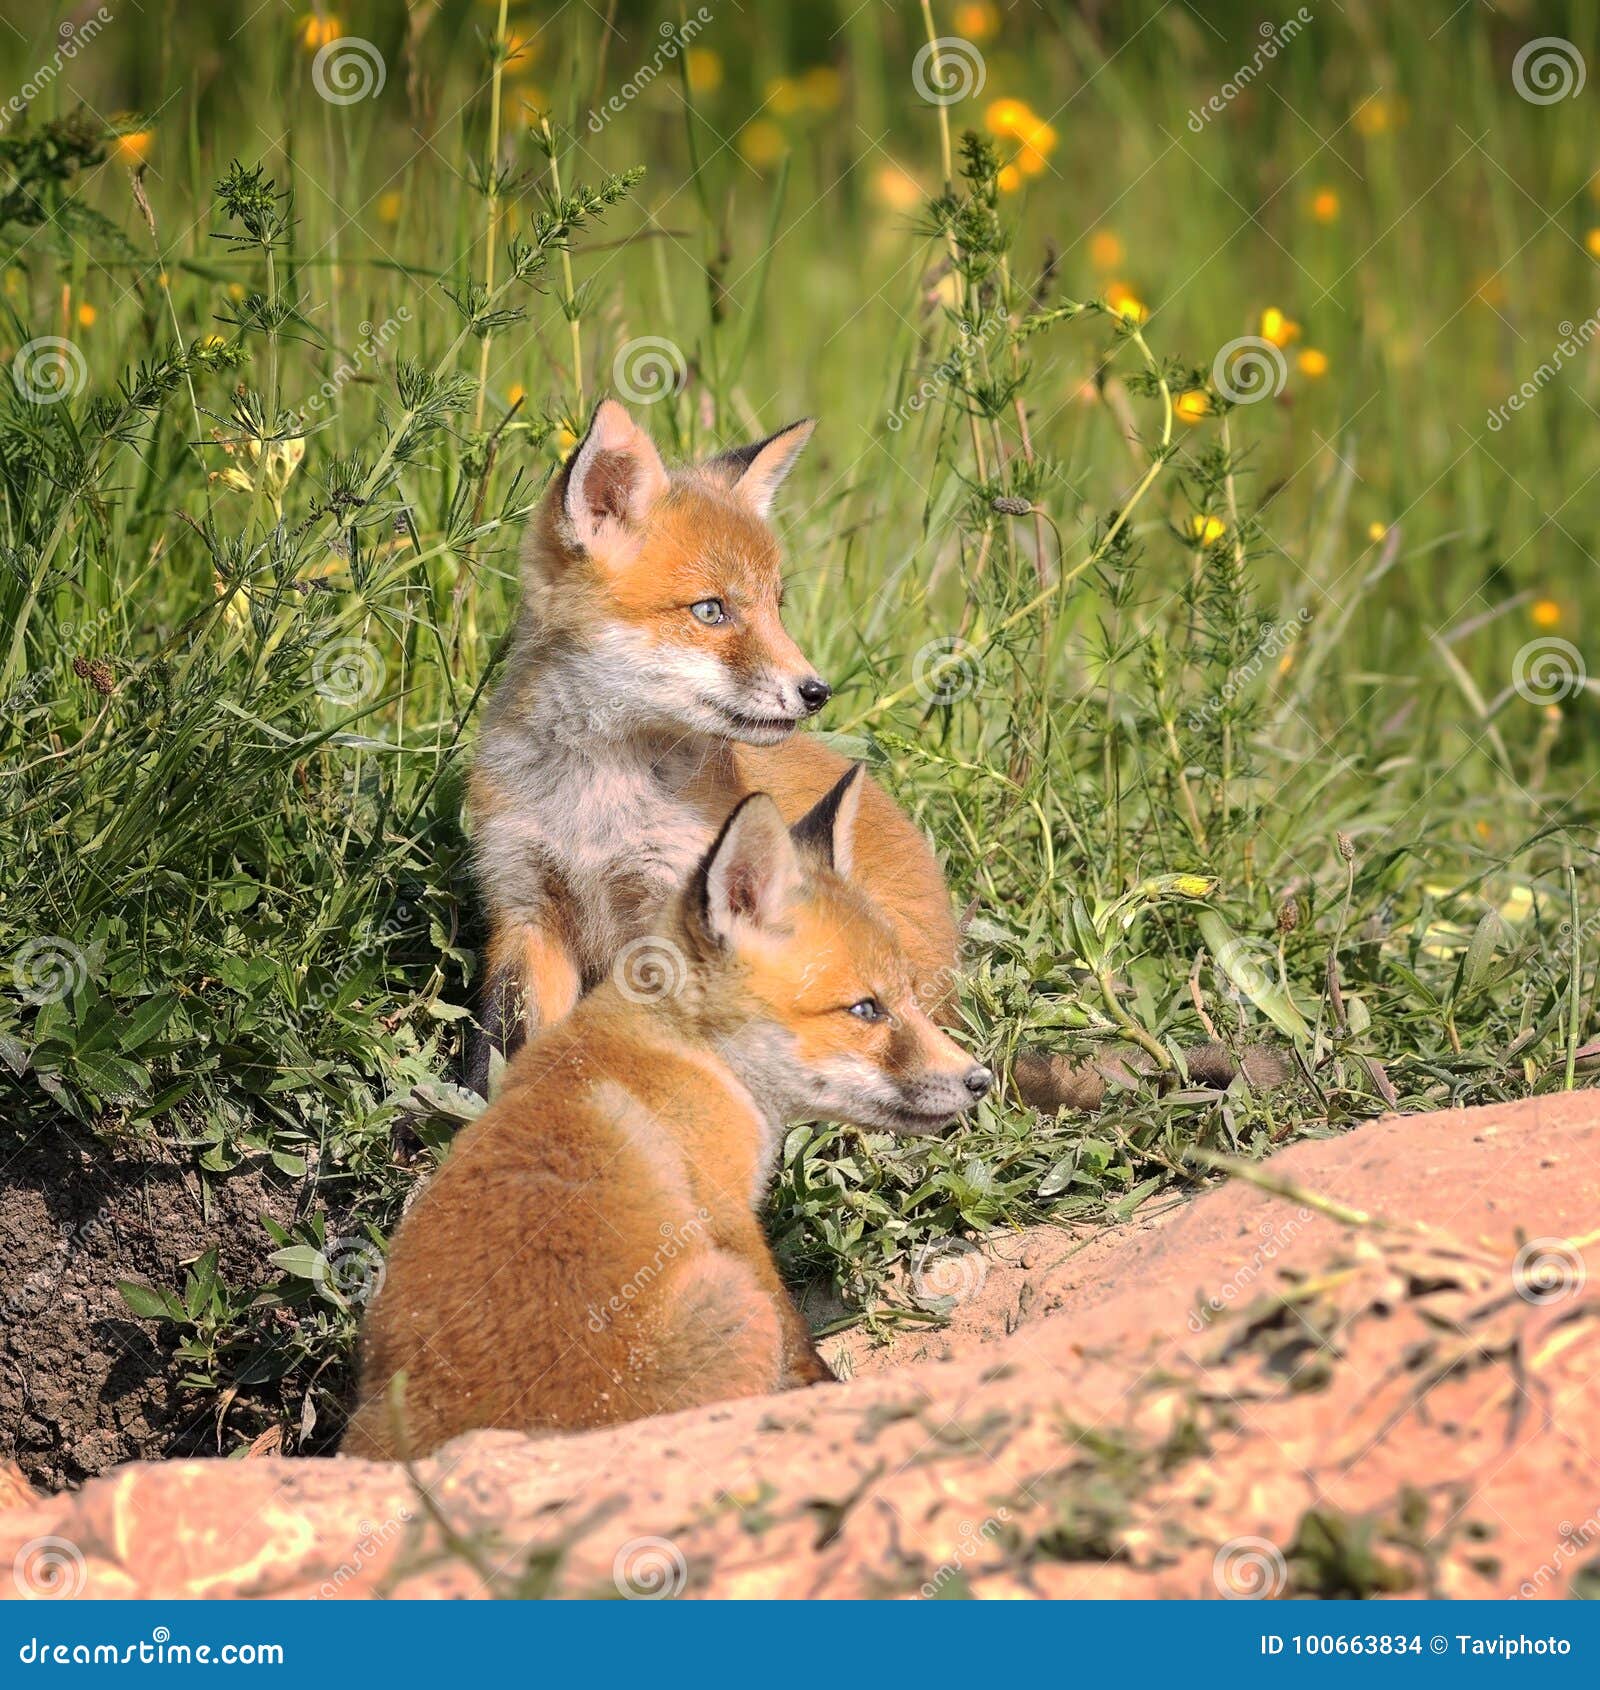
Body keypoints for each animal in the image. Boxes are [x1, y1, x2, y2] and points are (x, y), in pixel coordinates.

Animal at [342, 768, 993, 1459]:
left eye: (910, 998)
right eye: (866, 1009)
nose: (980, 1081)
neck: (696, 1055)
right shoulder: (727, 1216)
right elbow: (797, 1337)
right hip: (737, 1312)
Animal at [466, 397, 960, 1094]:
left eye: (777, 607)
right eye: (710, 611)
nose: (817, 691)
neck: (596, 802)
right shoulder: (526, 906)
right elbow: (504, 1052)